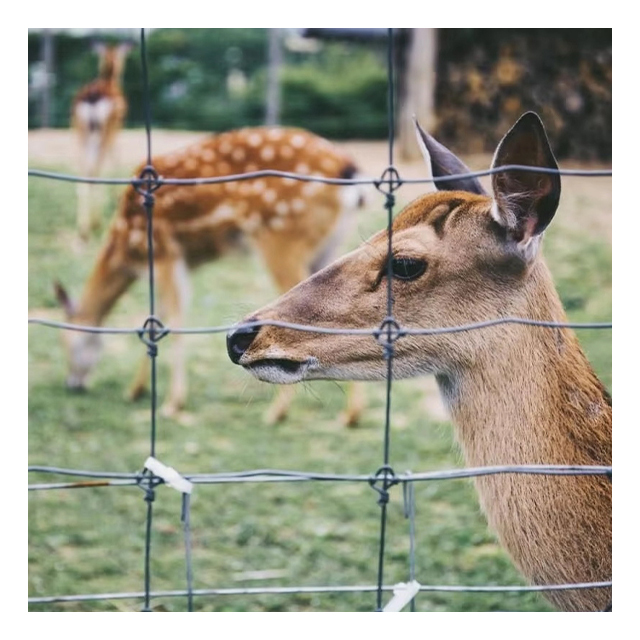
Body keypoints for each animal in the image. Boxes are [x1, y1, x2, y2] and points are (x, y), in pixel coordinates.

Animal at [55, 126, 367, 425]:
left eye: (68, 342)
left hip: (281, 236)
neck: (127, 245)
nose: (72, 384)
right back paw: (349, 415)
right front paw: (135, 390)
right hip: (328, 246)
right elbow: (157, 316)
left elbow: (173, 318)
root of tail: (349, 171)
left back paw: (276, 413)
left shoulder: (165, 250)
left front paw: (172, 404)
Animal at [71, 42, 132, 239]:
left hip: (79, 128)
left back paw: (84, 228)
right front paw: (116, 197)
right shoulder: (117, 125)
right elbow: (115, 157)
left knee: (84, 171)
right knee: (95, 168)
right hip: (105, 127)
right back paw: (94, 224)